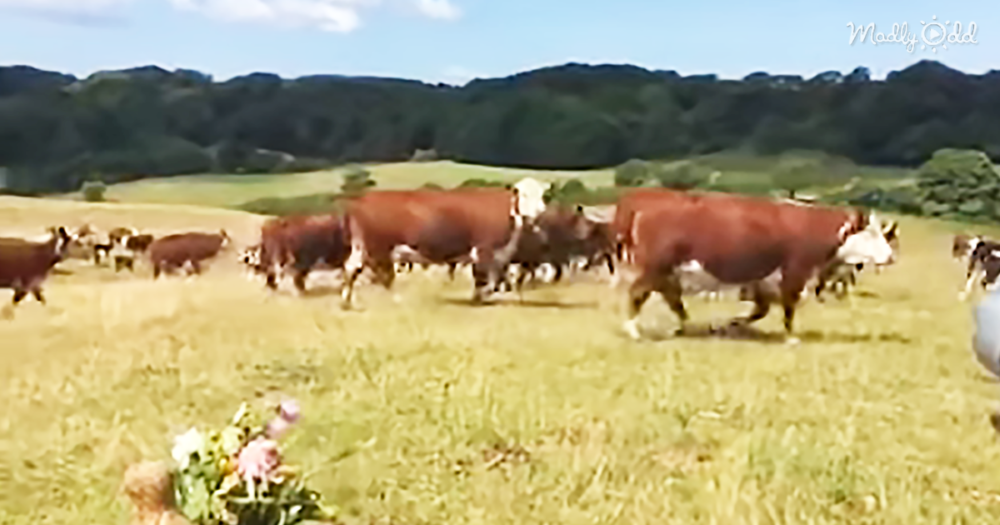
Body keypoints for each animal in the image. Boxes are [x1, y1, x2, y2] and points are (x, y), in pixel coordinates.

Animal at [339, 180, 550, 309]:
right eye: (523, 195)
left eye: (541, 195)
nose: (540, 210)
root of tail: (361, 200)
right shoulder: (483, 249)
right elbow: (483, 277)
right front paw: (479, 298)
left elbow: (493, 278)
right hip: (380, 247)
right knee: (383, 274)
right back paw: (397, 300)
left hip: (360, 246)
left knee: (351, 268)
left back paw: (346, 302)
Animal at [620, 190, 895, 343]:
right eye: (871, 233)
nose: (891, 257)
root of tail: (645, 211)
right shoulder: (794, 272)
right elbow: (788, 307)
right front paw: (791, 337)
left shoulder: (763, 281)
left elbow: (759, 311)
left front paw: (729, 325)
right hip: (654, 268)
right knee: (637, 294)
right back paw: (635, 332)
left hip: (666, 274)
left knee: (672, 299)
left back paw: (684, 327)